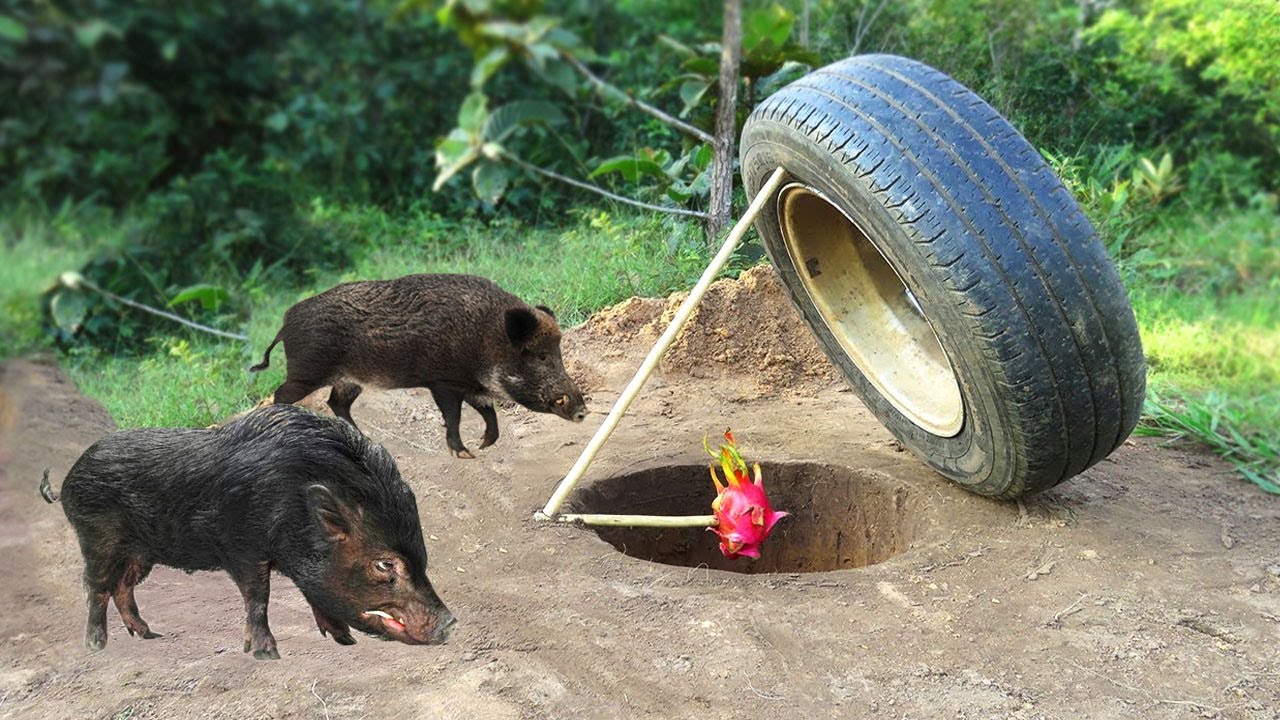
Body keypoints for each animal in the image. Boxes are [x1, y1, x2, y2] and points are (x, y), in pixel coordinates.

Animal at [39, 404, 455, 660]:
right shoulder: (243, 549)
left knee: (122, 586)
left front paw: (344, 641)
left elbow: (313, 594)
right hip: (97, 538)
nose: (452, 622)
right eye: (385, 565)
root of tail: (69, 478)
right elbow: (259, 597)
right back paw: (97, 646)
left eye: (422, 557)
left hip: (141, 553)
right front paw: (266, 654)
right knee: (96, 585)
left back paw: (149, 635)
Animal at [249, 273, 587, 458]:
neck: (485, 337)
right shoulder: (443, 382)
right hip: (307, 372)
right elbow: (454, 416)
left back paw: (367, 440)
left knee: (336, 402)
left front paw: (484, 445)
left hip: (349, 380)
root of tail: (285, 323)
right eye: (540, 355)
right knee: (281, 395)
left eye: (557, 351)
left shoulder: (470, 385)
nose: (582, 410)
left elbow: (488, 411)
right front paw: (465, 454)